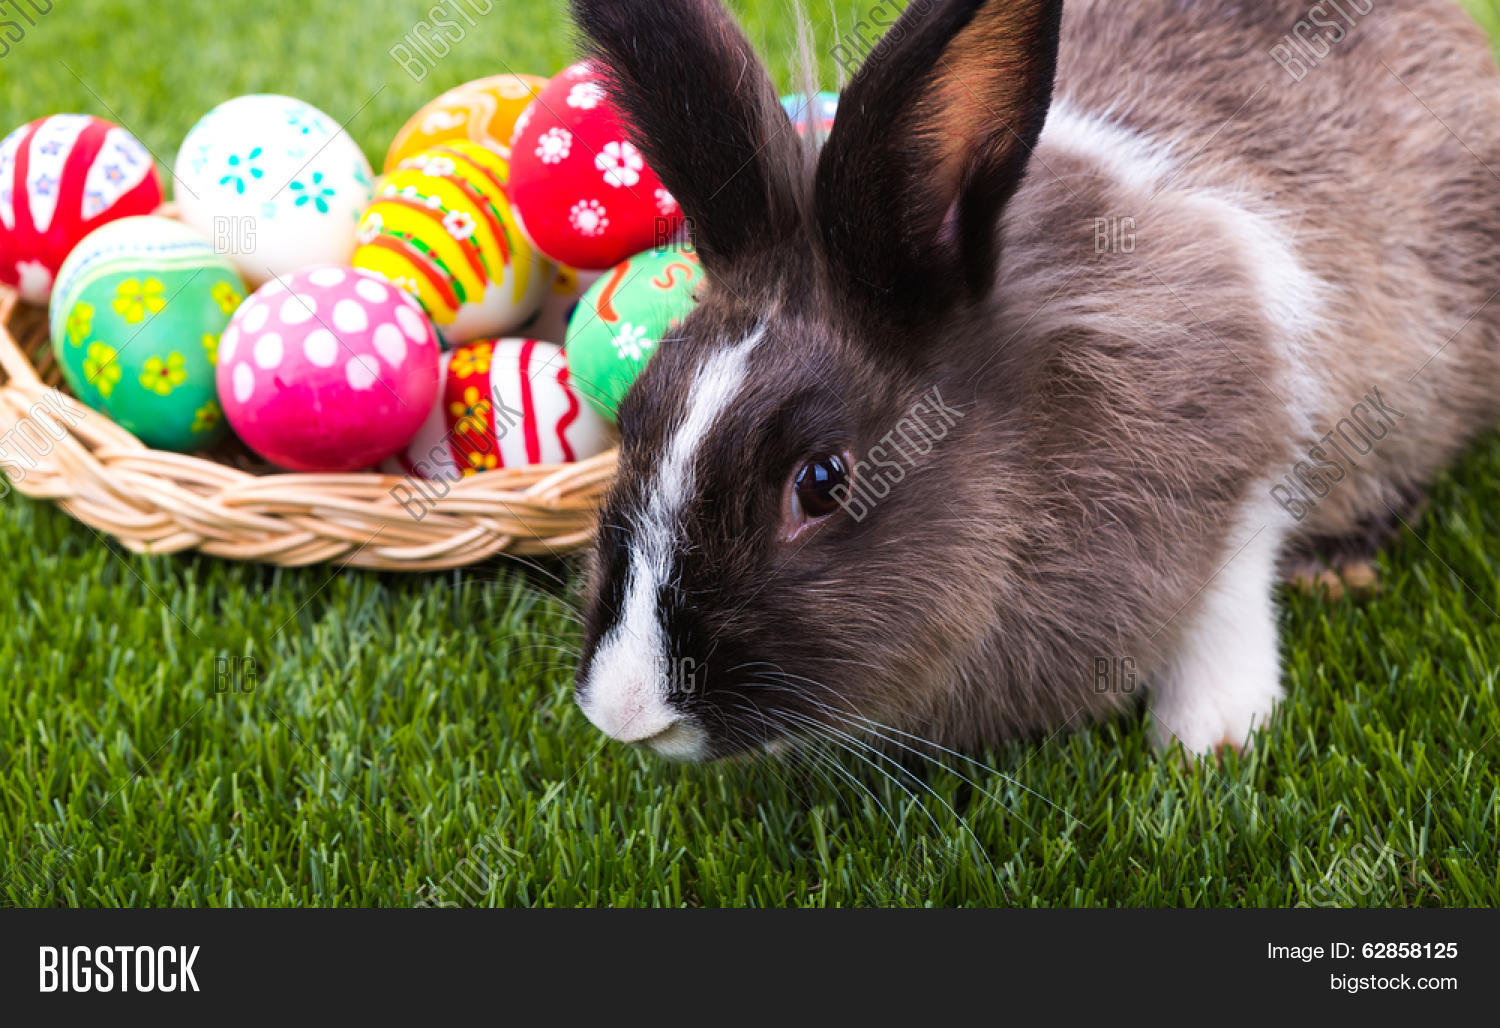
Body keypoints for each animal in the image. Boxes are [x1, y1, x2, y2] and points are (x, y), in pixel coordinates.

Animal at [568, 0, 1500, 761]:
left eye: (823, 483)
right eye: (636, 413)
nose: (625, 711)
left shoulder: (1251, 417)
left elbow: (1231, 584)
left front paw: (1211, 737)